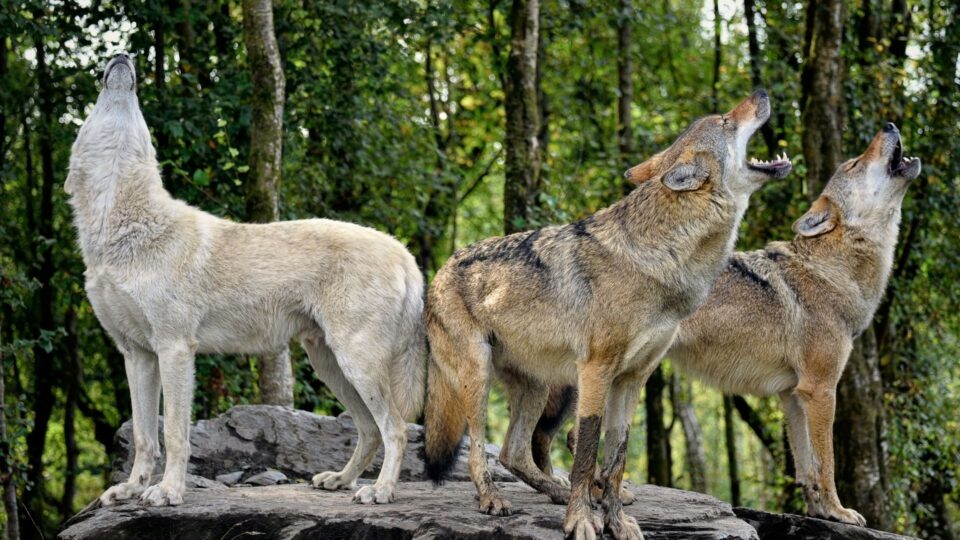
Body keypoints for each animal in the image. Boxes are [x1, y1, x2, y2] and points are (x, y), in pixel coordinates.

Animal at [66, 54, 425, 507]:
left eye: (139, 111)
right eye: (95, 110)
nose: (123, 57)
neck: (124, 231)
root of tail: (403, 252)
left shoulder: (175, 349)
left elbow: (175, 435)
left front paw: (167, 492)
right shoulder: (136, 356)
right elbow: (146, 437)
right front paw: (132, 488)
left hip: (355, 363)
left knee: (395, 428)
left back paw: (379, 491)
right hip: (331, 365)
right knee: (369, 430)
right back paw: (342, 481)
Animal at [422, 91, 790, 540]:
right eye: (724, 119)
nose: (762, 93)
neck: (663, 259)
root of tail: (440, 268)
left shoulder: (633, 378)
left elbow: (617, 456)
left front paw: (615, 520)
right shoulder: (596, 370)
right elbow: (586, 451)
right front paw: (582, 520)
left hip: (538, 387)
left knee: (514, 452)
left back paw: (555, 491)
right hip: (480, 376)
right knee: (479, 449)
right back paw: (493, 499)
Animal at [531, 124, 921, 527]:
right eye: (856, 163)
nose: (890, 125)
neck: (830, 272)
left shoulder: (793, 395)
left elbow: (805, 466)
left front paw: (817, 511)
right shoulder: (820, 390)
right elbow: (825, 463)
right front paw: (838, 511)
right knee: (572, 435)